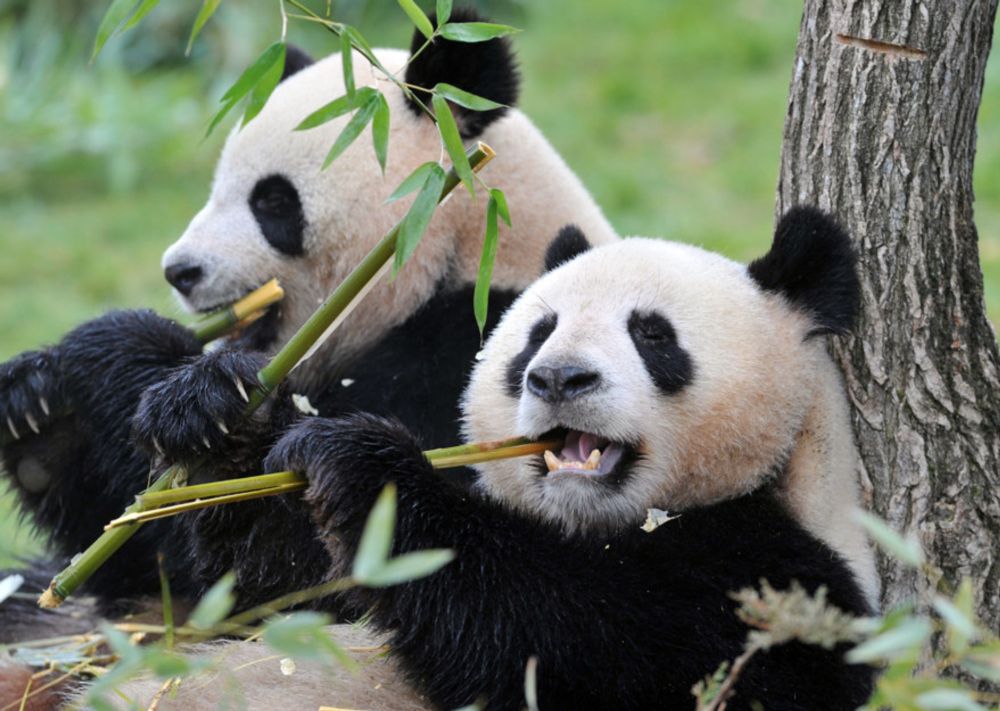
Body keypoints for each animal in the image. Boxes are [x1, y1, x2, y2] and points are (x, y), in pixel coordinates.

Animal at [0, 8, 617, 612]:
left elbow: (307, 567)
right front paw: (35, 401)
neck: (465, 246)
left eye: (273, 201)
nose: (180, 270)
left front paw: (193, 398)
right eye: (215, 190)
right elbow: (143, 563)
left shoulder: (468, 356)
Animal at [96, 208, 875, 711]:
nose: (558, 378)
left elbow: (573, 643)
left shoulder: (775, 578)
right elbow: (285, 589)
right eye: (537, 333)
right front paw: (219, 412)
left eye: (653, 335)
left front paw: (365, 464)